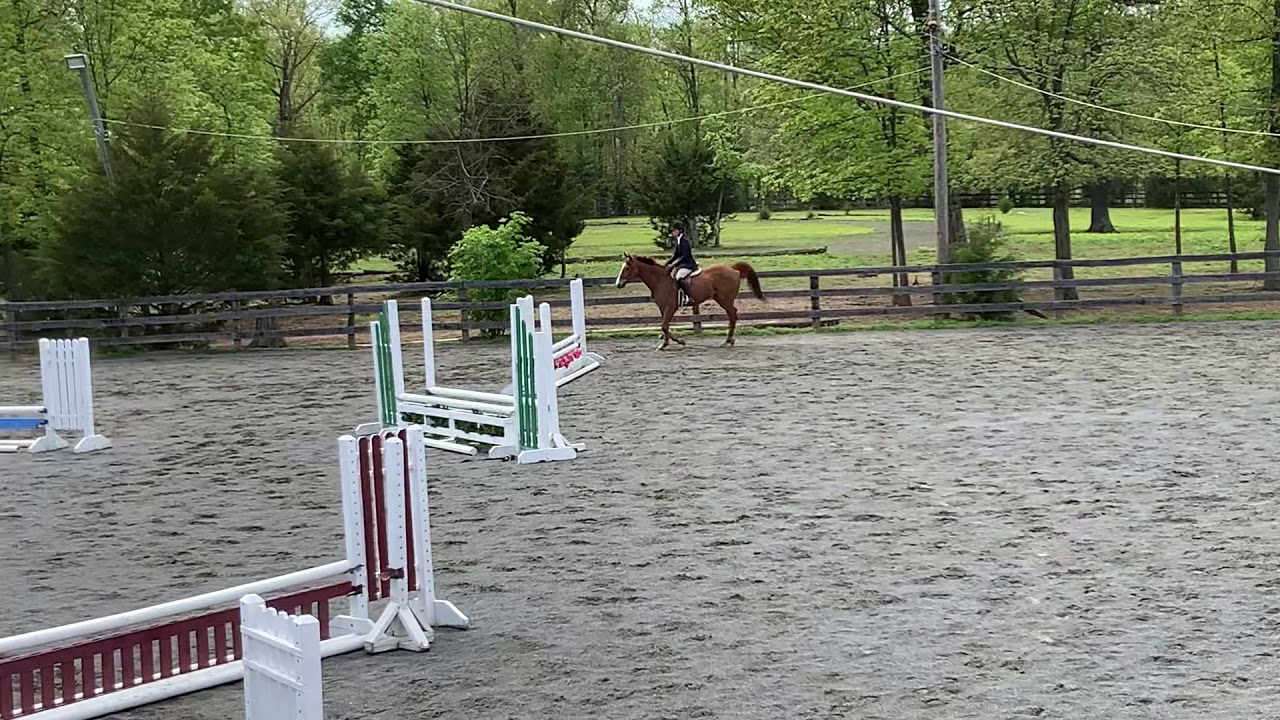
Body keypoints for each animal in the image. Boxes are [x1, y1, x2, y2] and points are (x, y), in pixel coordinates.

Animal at [614, 253, 764, 350]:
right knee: (732, 315)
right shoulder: (663, 307)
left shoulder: (670, 307)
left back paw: (727, 341)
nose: (618, 284)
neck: (660, 280)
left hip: (724, 299)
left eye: (626, 268)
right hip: (721, 299)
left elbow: (664, 326)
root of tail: (732, 268)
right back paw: (729, 340)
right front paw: (677, 341)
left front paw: (664, 345)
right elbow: (665, 326)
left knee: (732, 315)